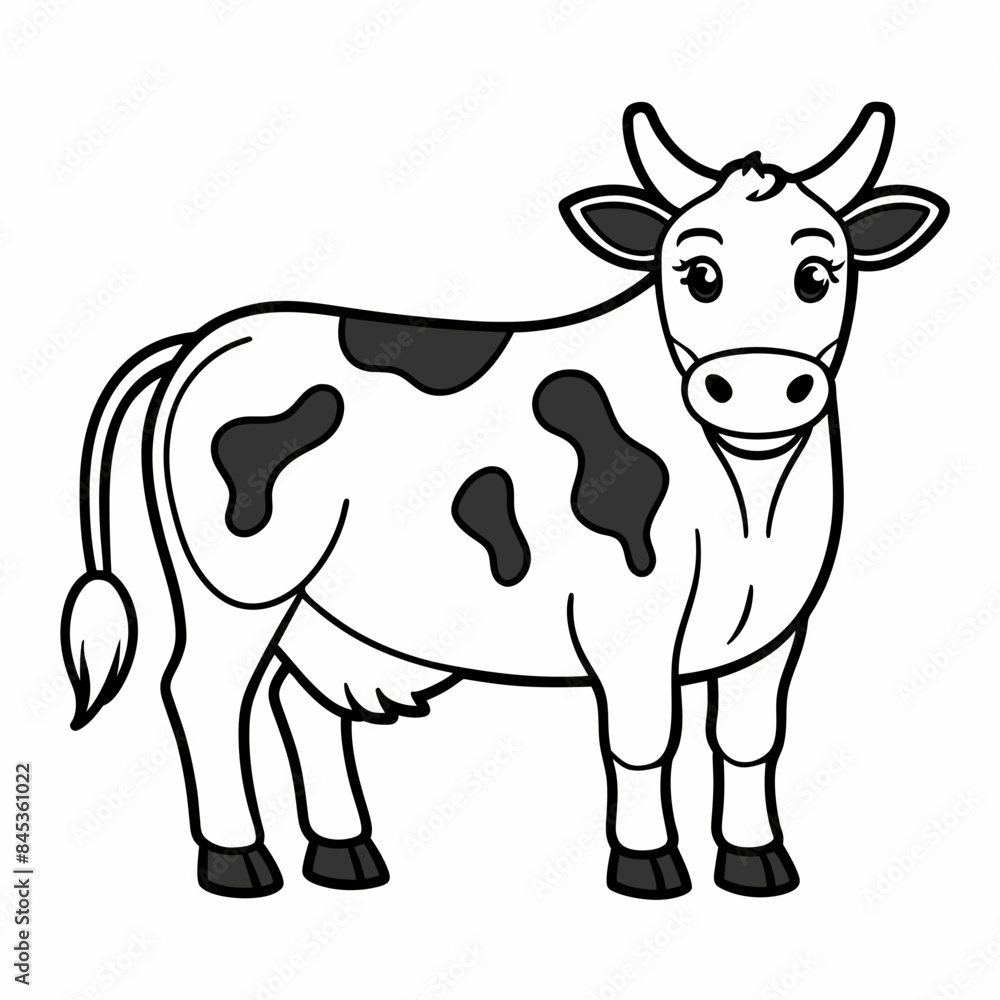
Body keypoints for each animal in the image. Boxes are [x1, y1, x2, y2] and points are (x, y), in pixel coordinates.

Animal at [62, 102, 947, 899]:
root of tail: (211, 337)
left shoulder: (776, 629)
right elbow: (642, 741)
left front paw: (756, 862)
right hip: (236, 584)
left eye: (818, 273)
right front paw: (648, 866)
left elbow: (750, 741)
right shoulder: (627, 622)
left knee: (301, 702)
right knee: (204, 693)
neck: (748, 505)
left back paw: (345, 854)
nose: (758, 390)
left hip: (316, 601)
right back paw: (239, 861)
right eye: (697, 272)